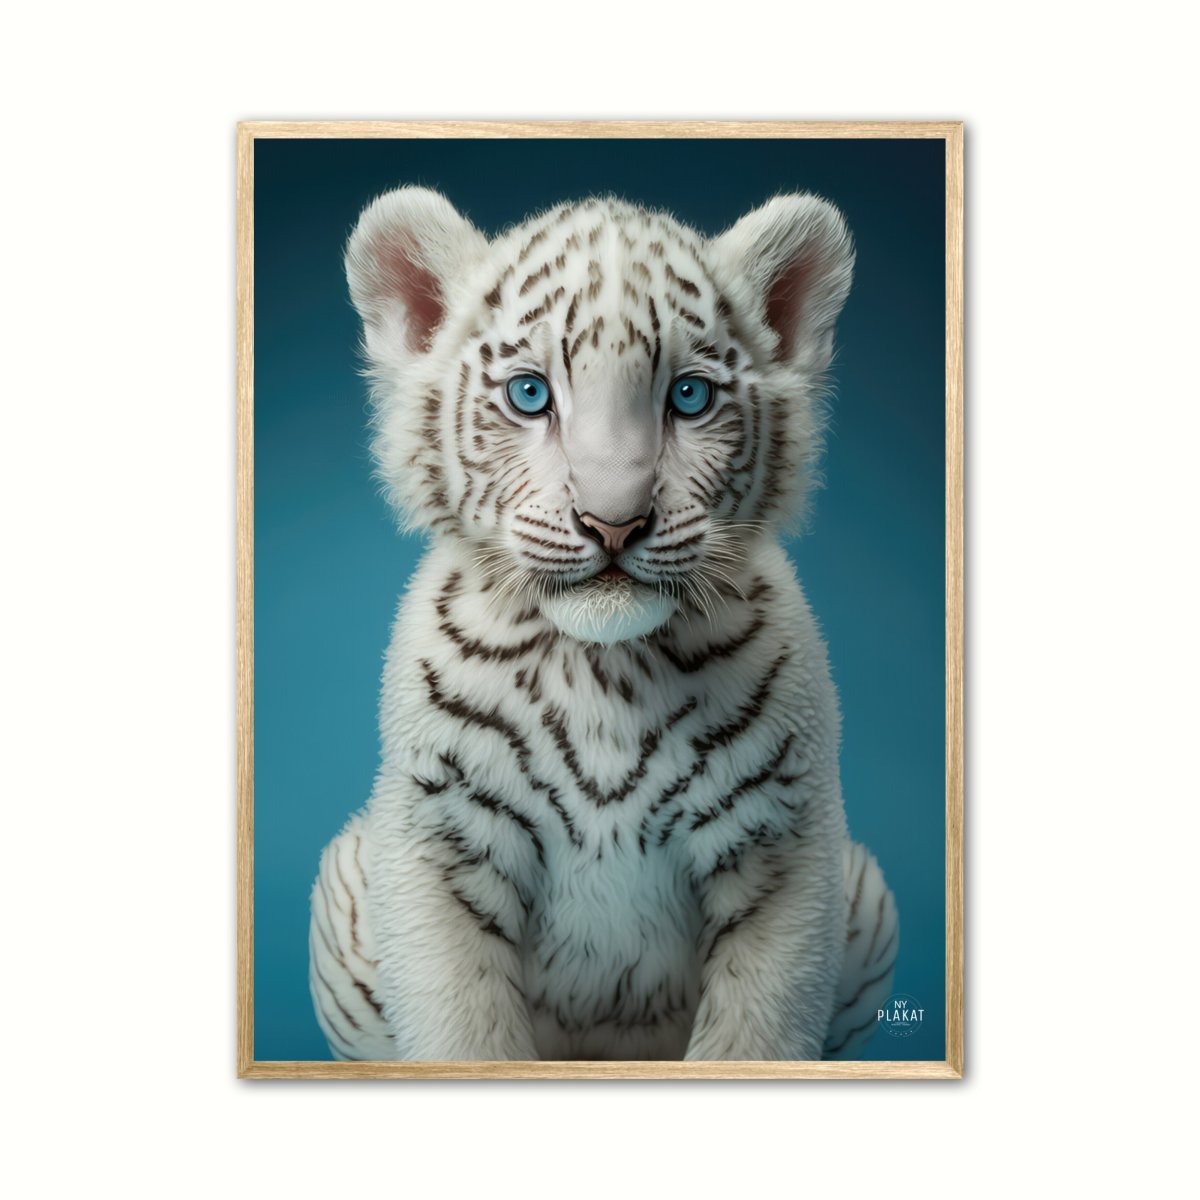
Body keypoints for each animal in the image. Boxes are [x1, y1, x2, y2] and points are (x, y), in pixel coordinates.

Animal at [308, 187, 899, 1061]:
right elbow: (462, 1032)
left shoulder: (786, 840)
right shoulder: (437, 834)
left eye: (690, 396)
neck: (604, 667)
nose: (613, 523)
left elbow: (754, 1031)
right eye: (529, 395)